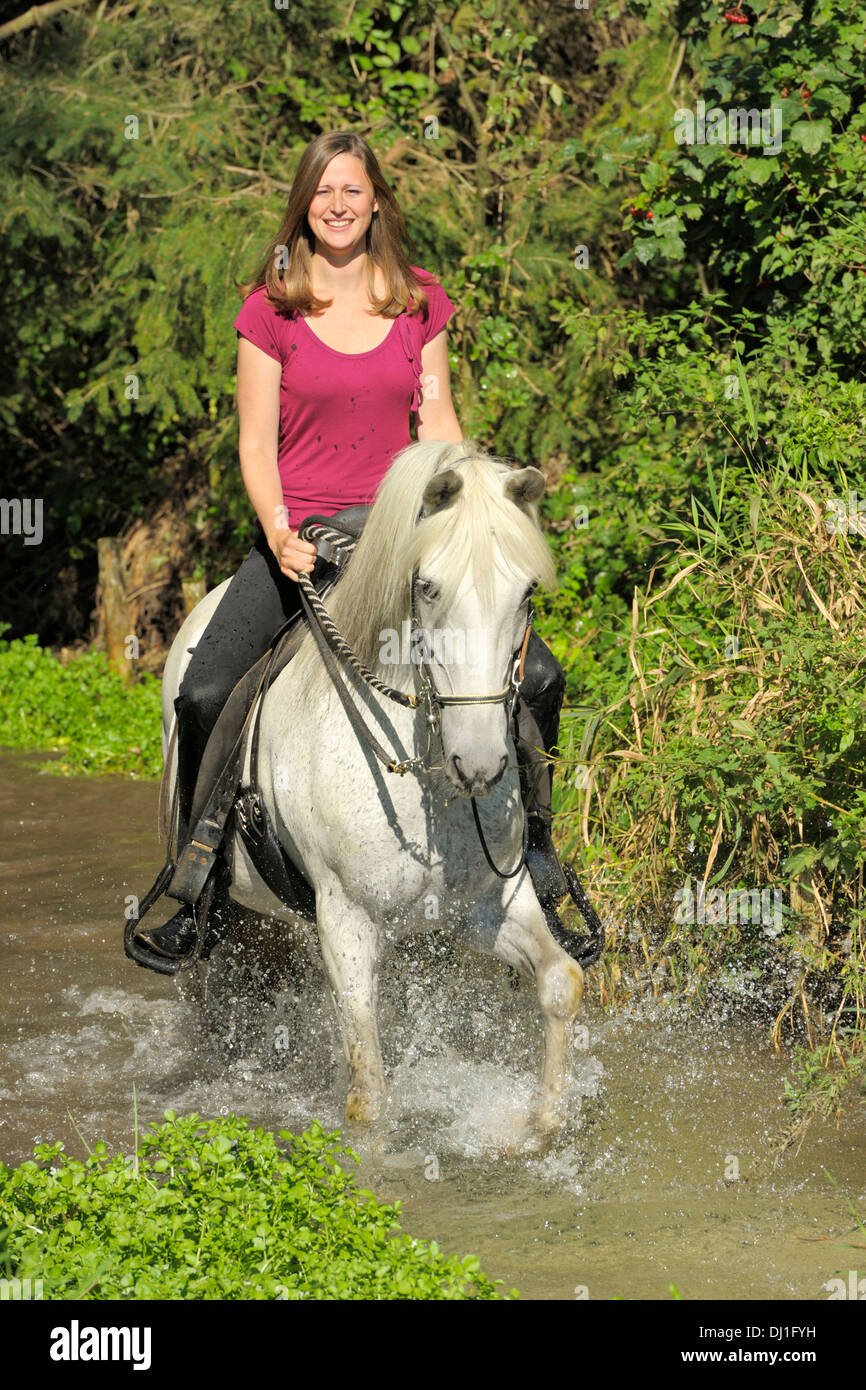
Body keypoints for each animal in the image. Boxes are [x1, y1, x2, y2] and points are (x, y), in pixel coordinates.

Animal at [159, 440, 587, 1141]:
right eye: (427, 586)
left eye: (526, 591)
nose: (480, 762)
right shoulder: (347, 918)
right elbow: (368, 1092)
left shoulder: (484, 904)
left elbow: (560, 983)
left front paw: (543, 1126)